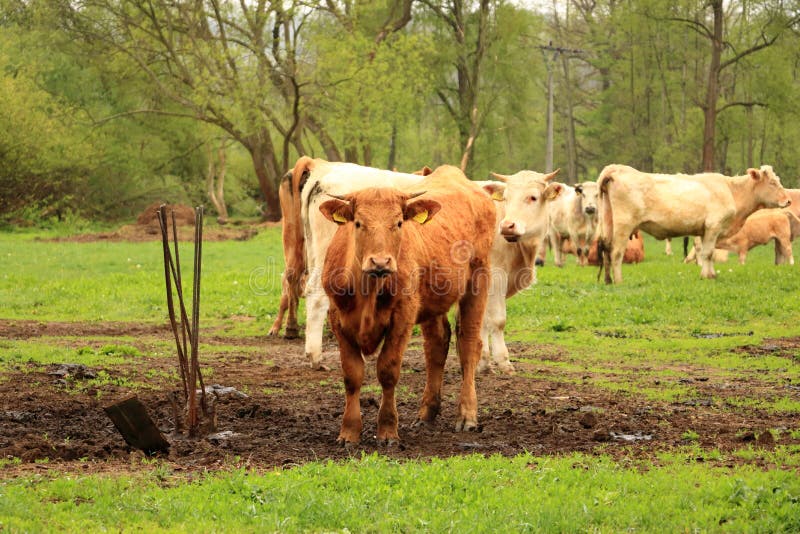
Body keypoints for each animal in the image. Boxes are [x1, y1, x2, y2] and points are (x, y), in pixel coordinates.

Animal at [319, 165, 496, 444]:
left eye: (398, 223)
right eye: (358, 223)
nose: (380, 262)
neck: (368, 291)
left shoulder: (403, 316)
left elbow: (388, 370)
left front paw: (387, 430)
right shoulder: (337, 318)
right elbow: (352, 375)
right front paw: (349, 431)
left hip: (478, 279)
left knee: (468, 345)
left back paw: (467, 415)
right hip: (433, 299)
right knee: (437, 345)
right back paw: (426, 413)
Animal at [477, 169, 563, 373]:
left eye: (533, 197)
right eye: (506, 198)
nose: (507, 226)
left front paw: (482, 363)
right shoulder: (494, 276)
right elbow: (497, 320)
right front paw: (503, 361)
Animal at [597, 164, 791, 283]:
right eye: (773, 182)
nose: (788, 200)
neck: (731, 191)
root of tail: (617, 168)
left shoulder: (705, 230)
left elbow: (707, 253)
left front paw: (710, 274)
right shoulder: (714, 226)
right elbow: (707, 253)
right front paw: (707, 276)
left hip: (608, 222)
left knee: (606, 249)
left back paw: (608, 280)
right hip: (623, 225)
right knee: (616, 253)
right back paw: (619, 281)